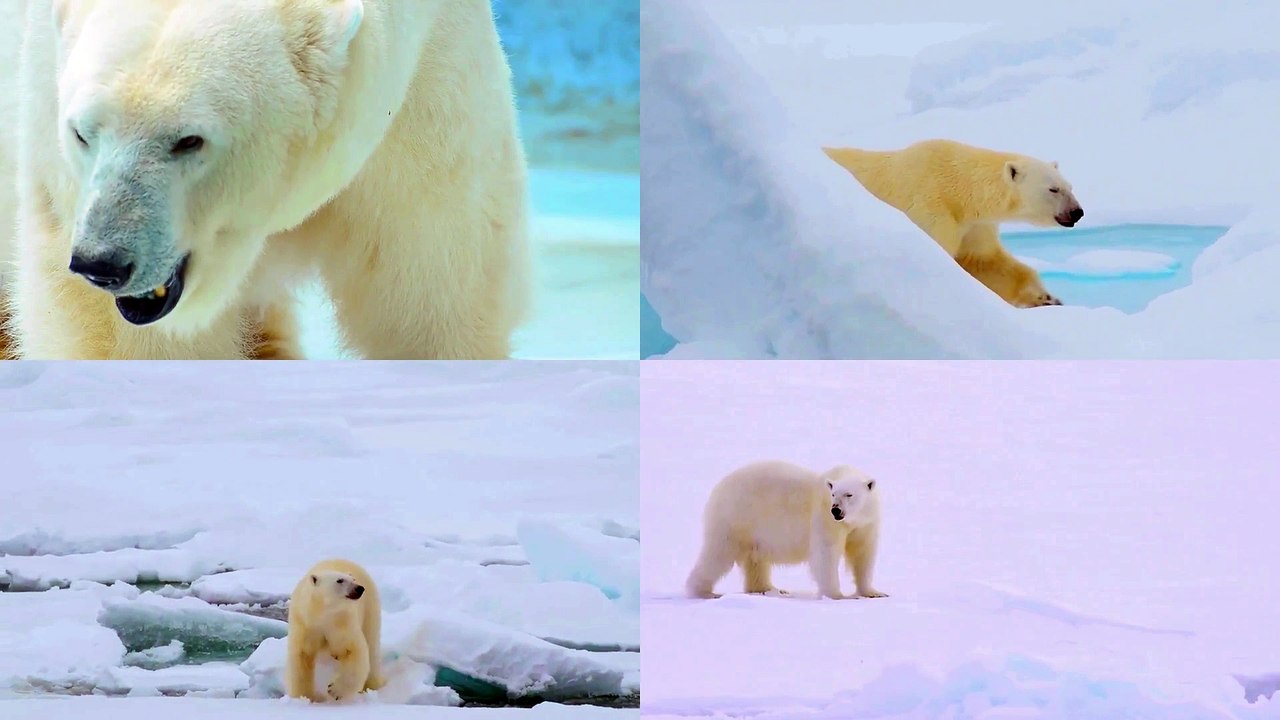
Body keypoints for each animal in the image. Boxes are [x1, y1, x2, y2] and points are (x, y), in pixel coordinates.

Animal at [285, 558, 384, 703]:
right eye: (340, 580)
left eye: (353, 579)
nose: (359, 588)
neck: (323, 614)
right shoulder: (306, 624)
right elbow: (302, 655)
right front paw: (303, 697)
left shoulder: (343, 623)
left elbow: (353, 650)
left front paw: (334, 690)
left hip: (370, 609)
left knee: (372, 646)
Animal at [686, 460, 887, 600]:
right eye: (833, 494)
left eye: (849, 494)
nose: (835, 510)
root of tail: (718, 488)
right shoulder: (824, 519)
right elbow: (825, 554)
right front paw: (837, 596)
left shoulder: (866, 524)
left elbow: (863, 554)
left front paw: (874, 593)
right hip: (736, 518)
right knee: (718, 554)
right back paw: (705, 592)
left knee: (755, 560)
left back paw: (770, 589)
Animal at [823, 139, 1084, 309]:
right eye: (1053, 189)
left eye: (1070, 186)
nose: (1077, 212)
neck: (958, 191)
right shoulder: (930, 207)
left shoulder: (974, 224)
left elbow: (983, 261)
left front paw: (1045, 298)